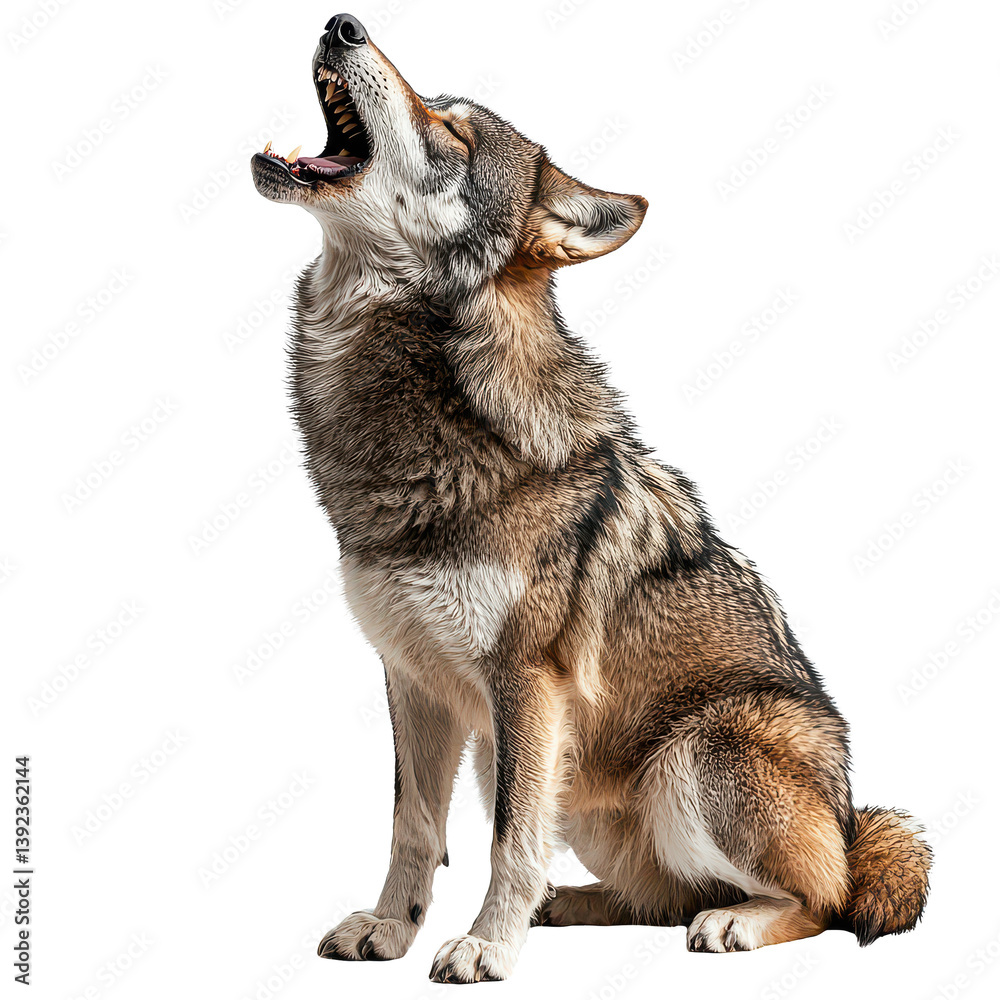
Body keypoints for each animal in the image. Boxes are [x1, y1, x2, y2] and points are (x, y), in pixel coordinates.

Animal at [250, 13, 931, 984]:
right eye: (435, 105)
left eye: (452, 132)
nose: (342, 23)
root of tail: (846, 817)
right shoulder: (414, 679)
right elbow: (413, 826)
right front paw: (391, 929)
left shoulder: (525, 682)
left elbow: (507, 839)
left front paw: (487, 947)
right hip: (559, 775)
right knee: (658, 898)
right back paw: (565, 907)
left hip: (693, 754)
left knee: (820, 898)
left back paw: (730, 923)